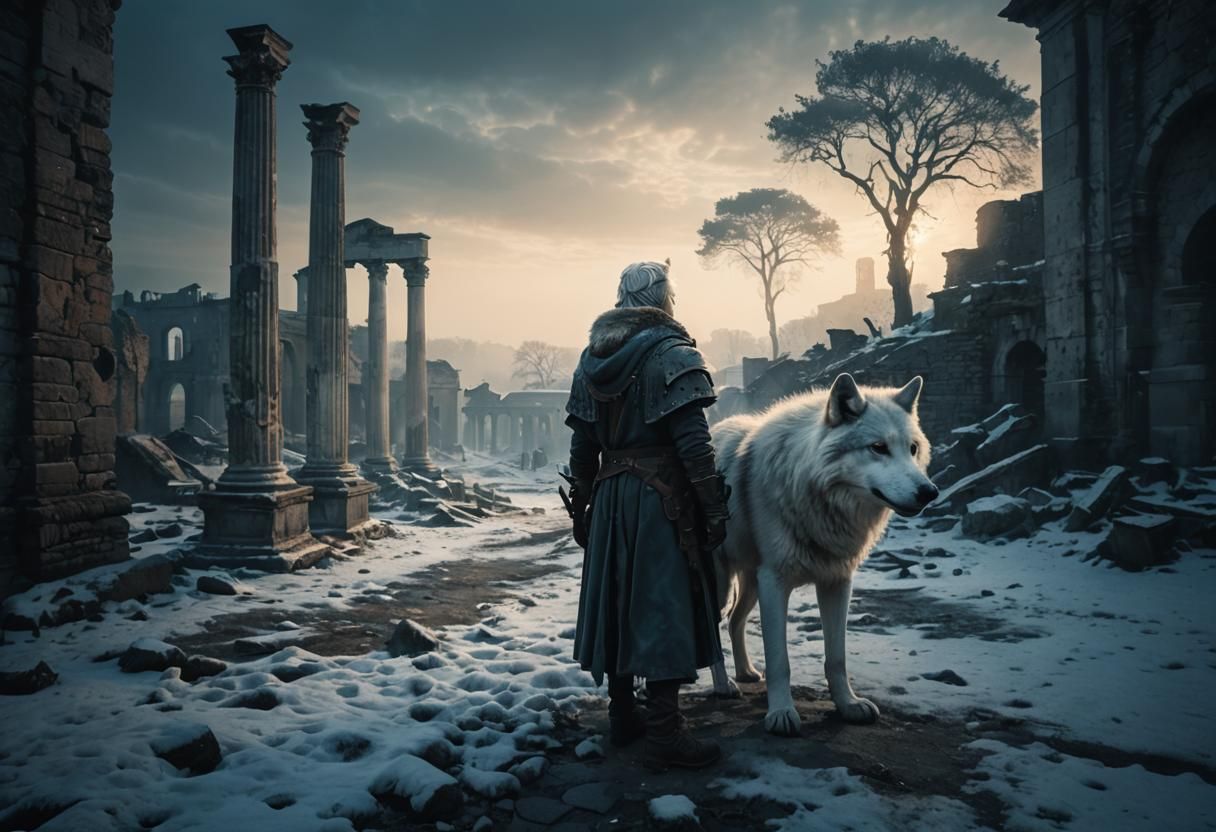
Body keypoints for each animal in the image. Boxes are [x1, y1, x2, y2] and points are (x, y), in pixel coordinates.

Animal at [707, 372, 938, 736]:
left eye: (912, 449)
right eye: (878, 448)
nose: (930, 492)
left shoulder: (837, 582)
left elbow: (837, 657)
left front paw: (848, 705)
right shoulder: (775, 583)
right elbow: (779, 660)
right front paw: (781, 713)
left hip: (751, 584)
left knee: (734, 621)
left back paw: (745, 673)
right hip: (719, 583)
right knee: (712, 628)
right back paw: (723, 685)